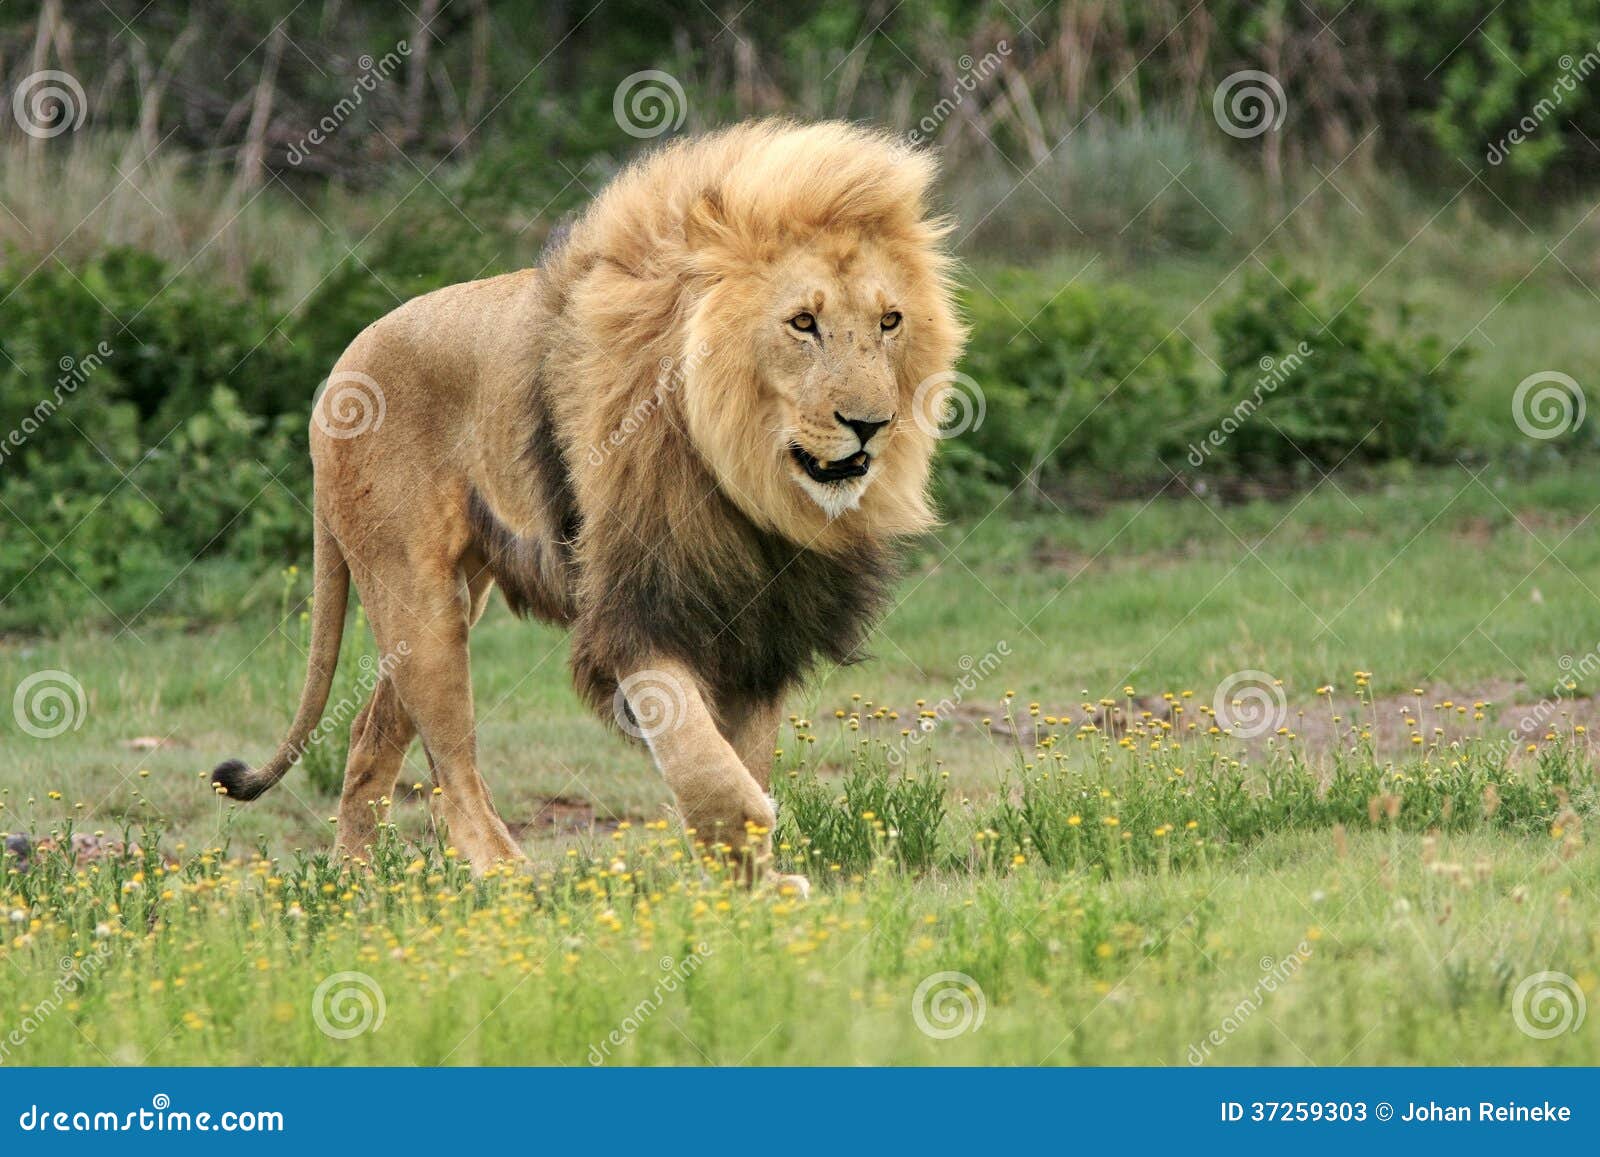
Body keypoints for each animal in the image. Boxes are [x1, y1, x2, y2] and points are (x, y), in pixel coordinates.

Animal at [211, 120, 966, 890]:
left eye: (891, 321)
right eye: (803, 322)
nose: (872, 424)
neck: (746, 482)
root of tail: (341, 366)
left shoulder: (760, 624)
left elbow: (742, 755)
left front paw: (750, 882)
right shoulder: (636, 605)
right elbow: (702, 757)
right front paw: (751, 850)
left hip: (453, 597)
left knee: (370, 736)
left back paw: (355, 883)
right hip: (417, 597)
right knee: (451, 766)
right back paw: (510, 878)